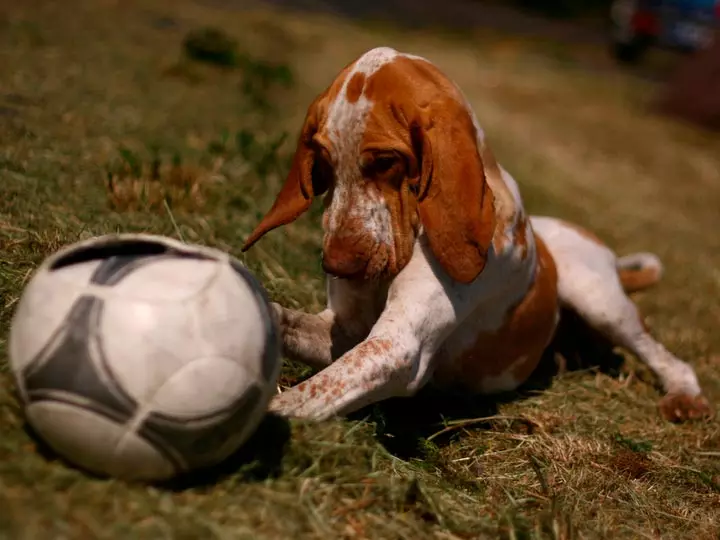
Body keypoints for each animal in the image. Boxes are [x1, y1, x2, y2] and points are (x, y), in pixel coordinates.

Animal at [240, 46, 708, 422]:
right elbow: (282, 319)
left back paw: (684, 396)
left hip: (600, 301)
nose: (336, 265)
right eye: (323, 163)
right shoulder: (347, 331)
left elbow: (304, 397)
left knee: (668, 358)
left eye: (386, 161)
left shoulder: (398, 347)